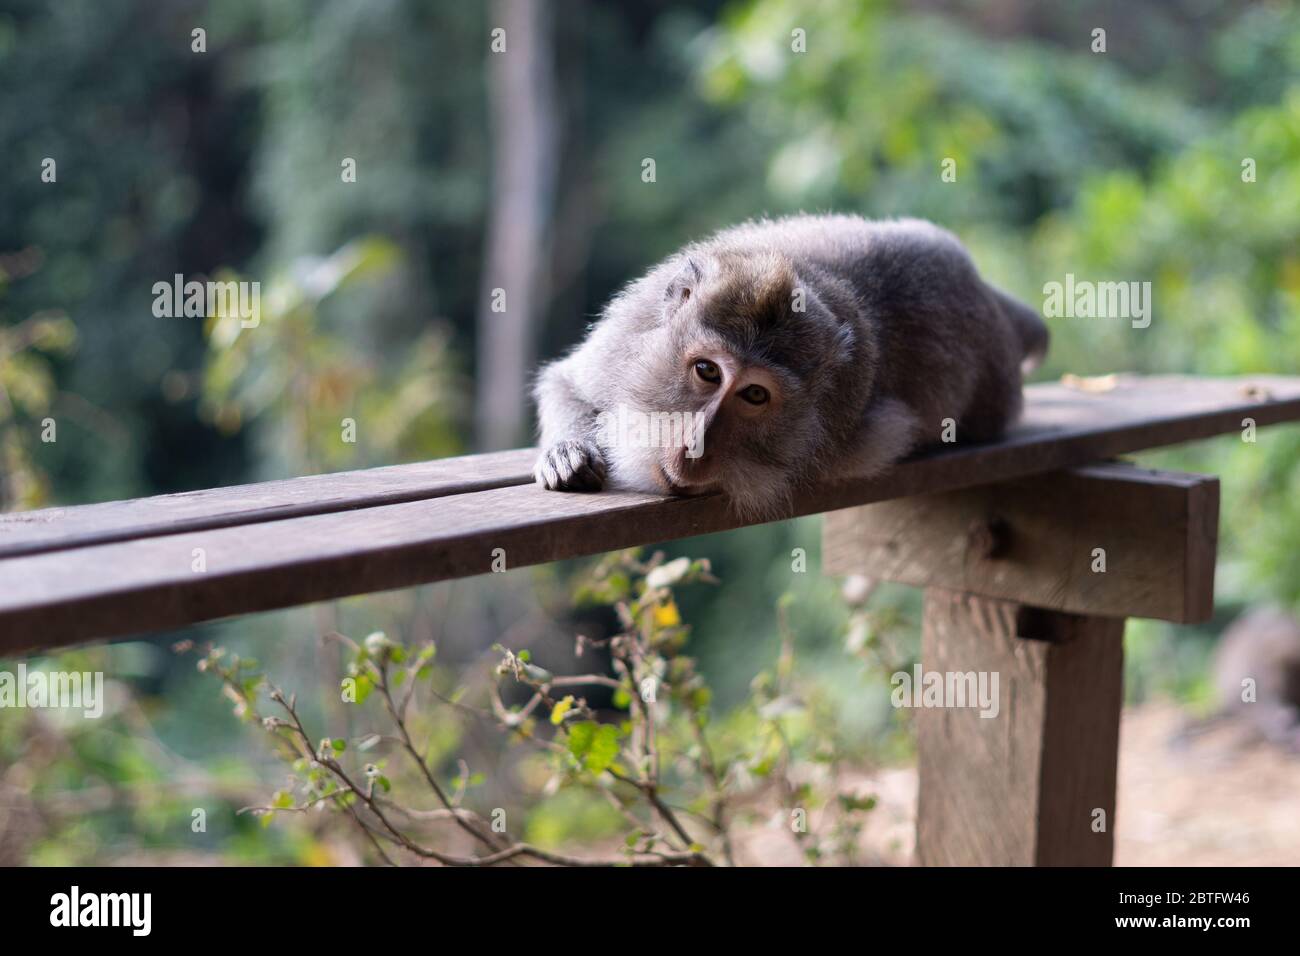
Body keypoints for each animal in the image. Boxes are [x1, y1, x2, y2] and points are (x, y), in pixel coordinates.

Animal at [532, 214, 1048, 519]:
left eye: (754, 395)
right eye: (707, 372)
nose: (695, 449)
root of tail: (979, 283)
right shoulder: (627, 337)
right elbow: (565, 382)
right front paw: (567, 452)